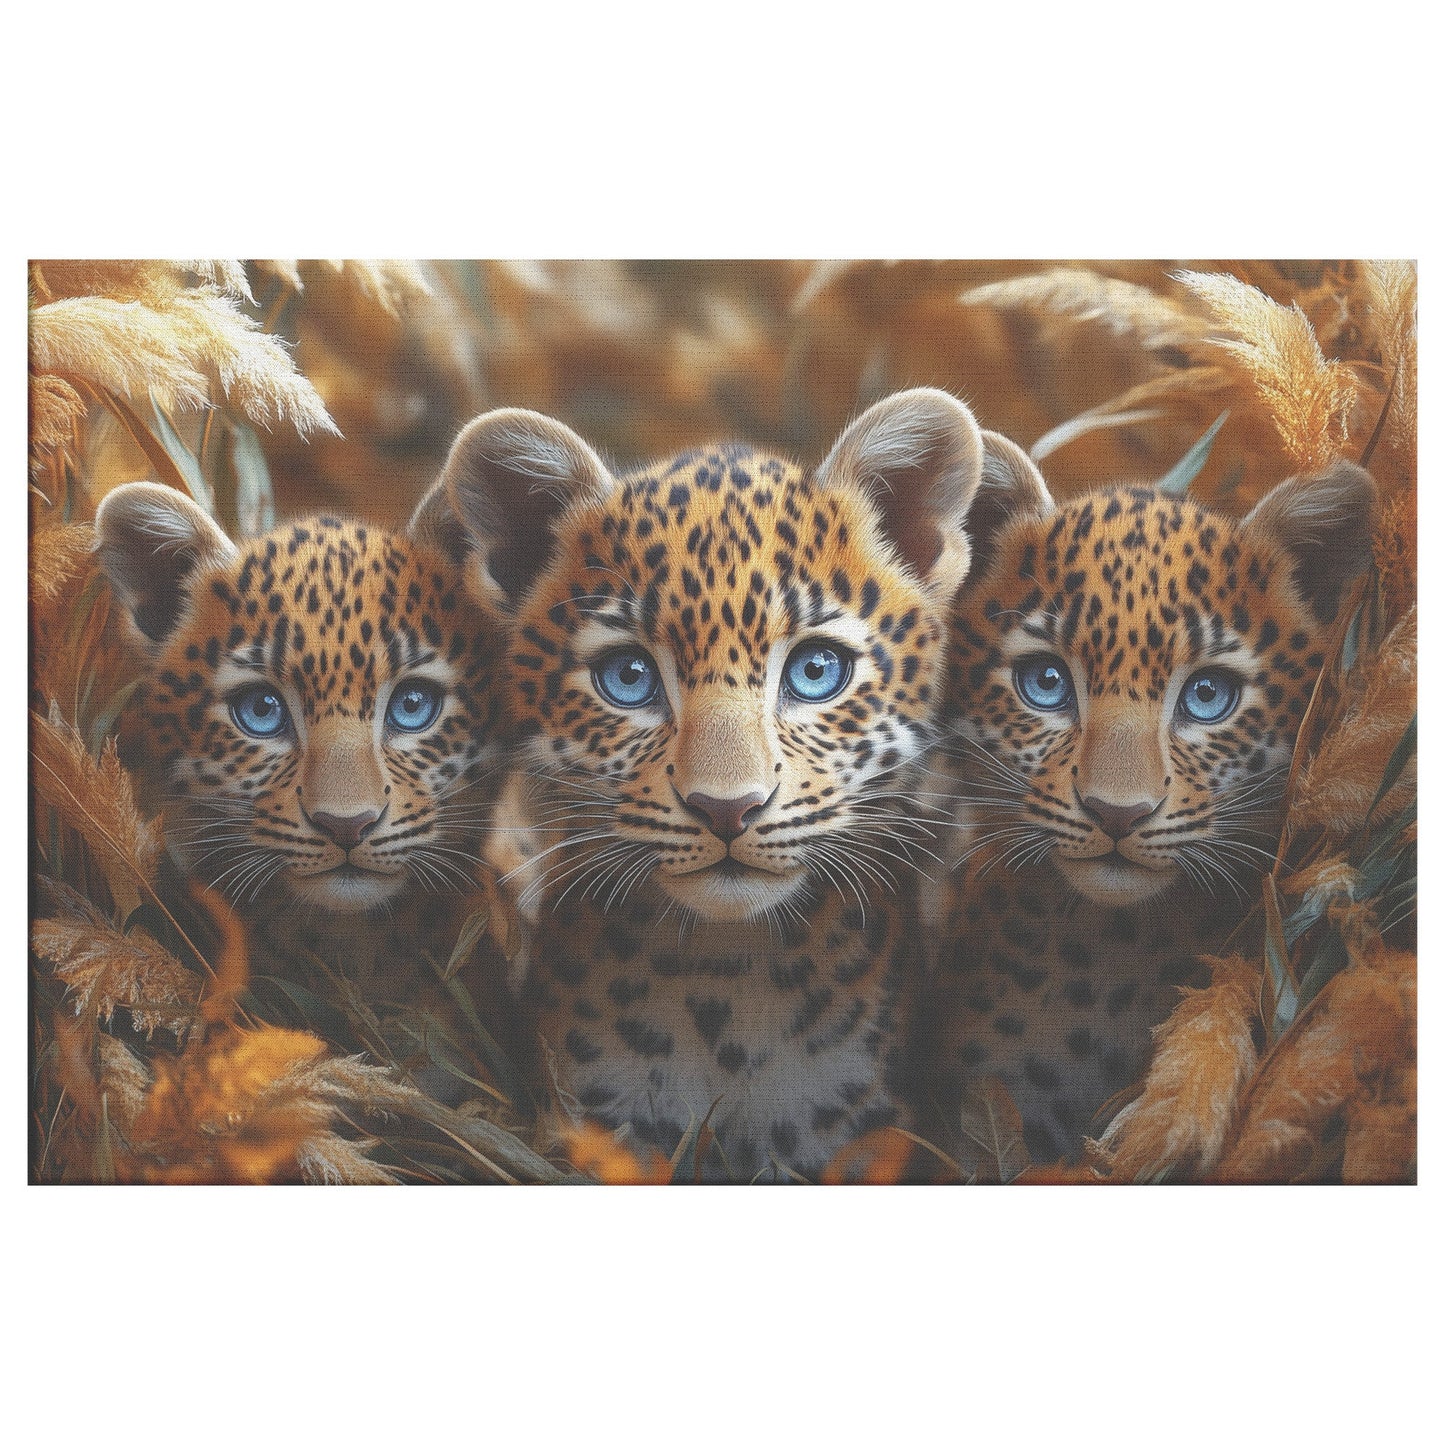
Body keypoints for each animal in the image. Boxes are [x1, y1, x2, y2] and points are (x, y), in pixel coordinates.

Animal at [437, 389, 987, 1179]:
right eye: (628, 676)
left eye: (815, 670)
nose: (727, 810)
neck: (726, 979)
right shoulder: (599, 1124)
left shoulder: (860, 1136)